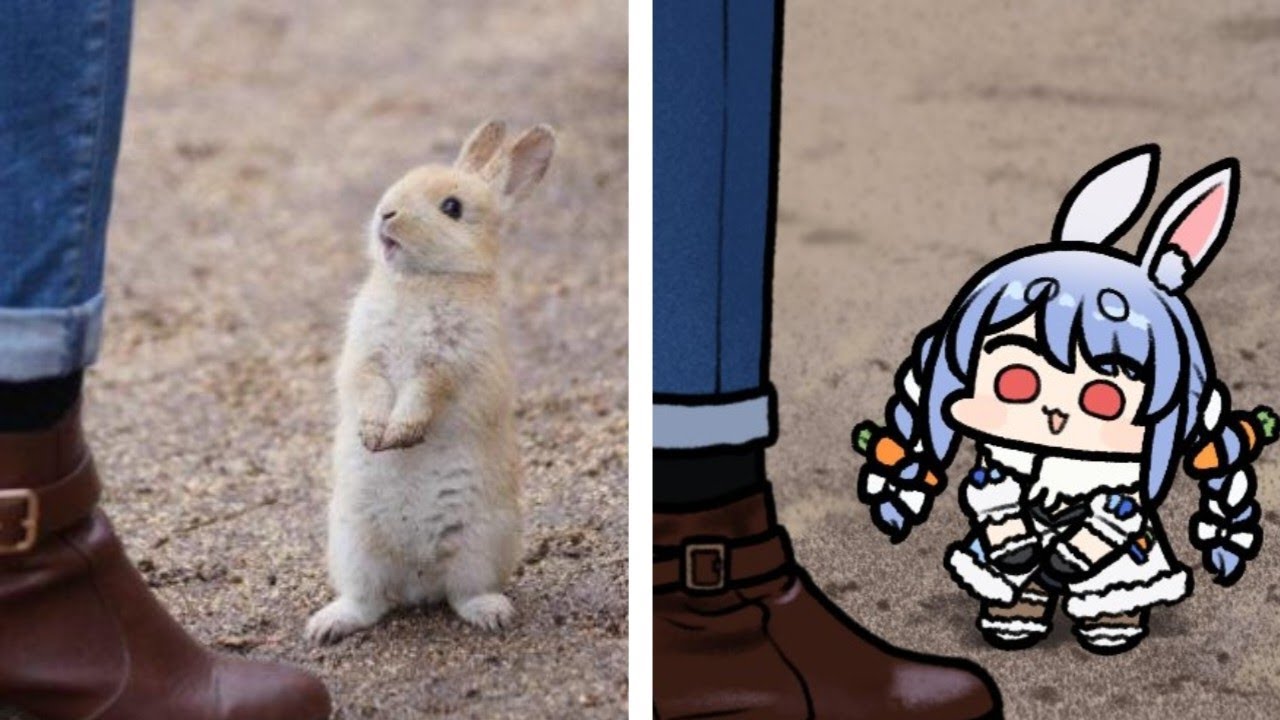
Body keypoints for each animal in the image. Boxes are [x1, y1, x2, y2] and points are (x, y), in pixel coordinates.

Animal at [306, 120, 556, 644]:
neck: (420, 280)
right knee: (368, 603)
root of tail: (418, 582)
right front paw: (373, 436)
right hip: (354, 548)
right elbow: (370, 387)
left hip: (480, 546)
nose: (386, 214)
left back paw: (493, 615)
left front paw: (399, 434)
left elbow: (424, 391)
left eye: (452, 208)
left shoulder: (447, 362)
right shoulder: (366, 357)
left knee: (464, 595)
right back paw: (326, 627)